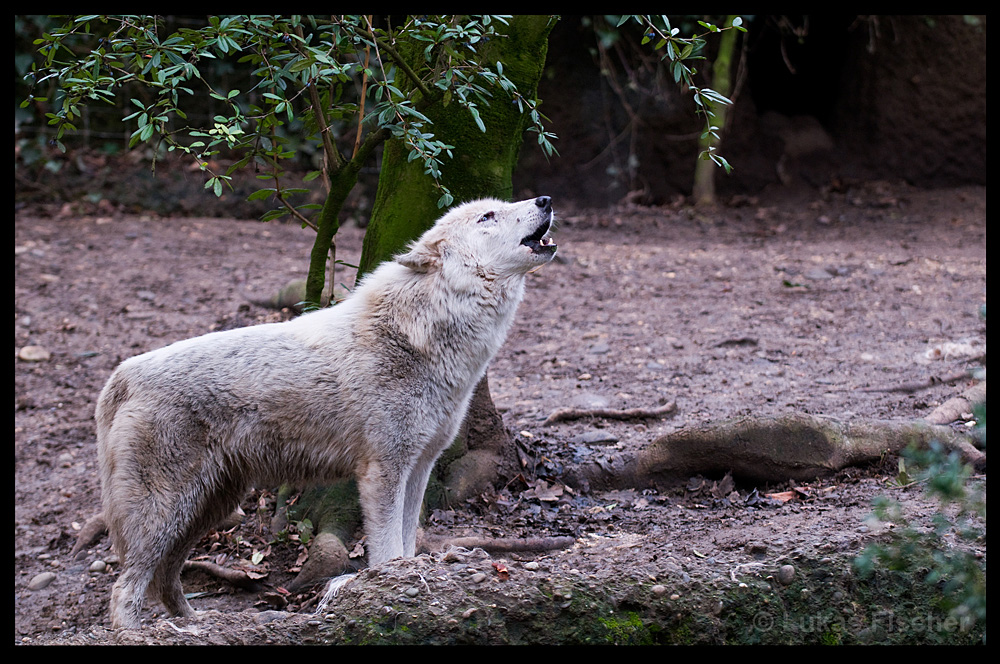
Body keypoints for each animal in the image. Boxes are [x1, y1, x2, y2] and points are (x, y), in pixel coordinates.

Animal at [95, 196, 557, 629]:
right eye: (487, 217)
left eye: (499, 207)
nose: (546, 200)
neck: (420, 334)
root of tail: (122, 374)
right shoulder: (383, 470)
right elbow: (387, 547)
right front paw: (392, 587)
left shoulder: (420, 466)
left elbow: (408, 540)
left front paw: (410, 576)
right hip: (165, 513)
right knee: (125, 586)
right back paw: (136, 629)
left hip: (207, 507)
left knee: (164, 578)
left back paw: (193, 621)